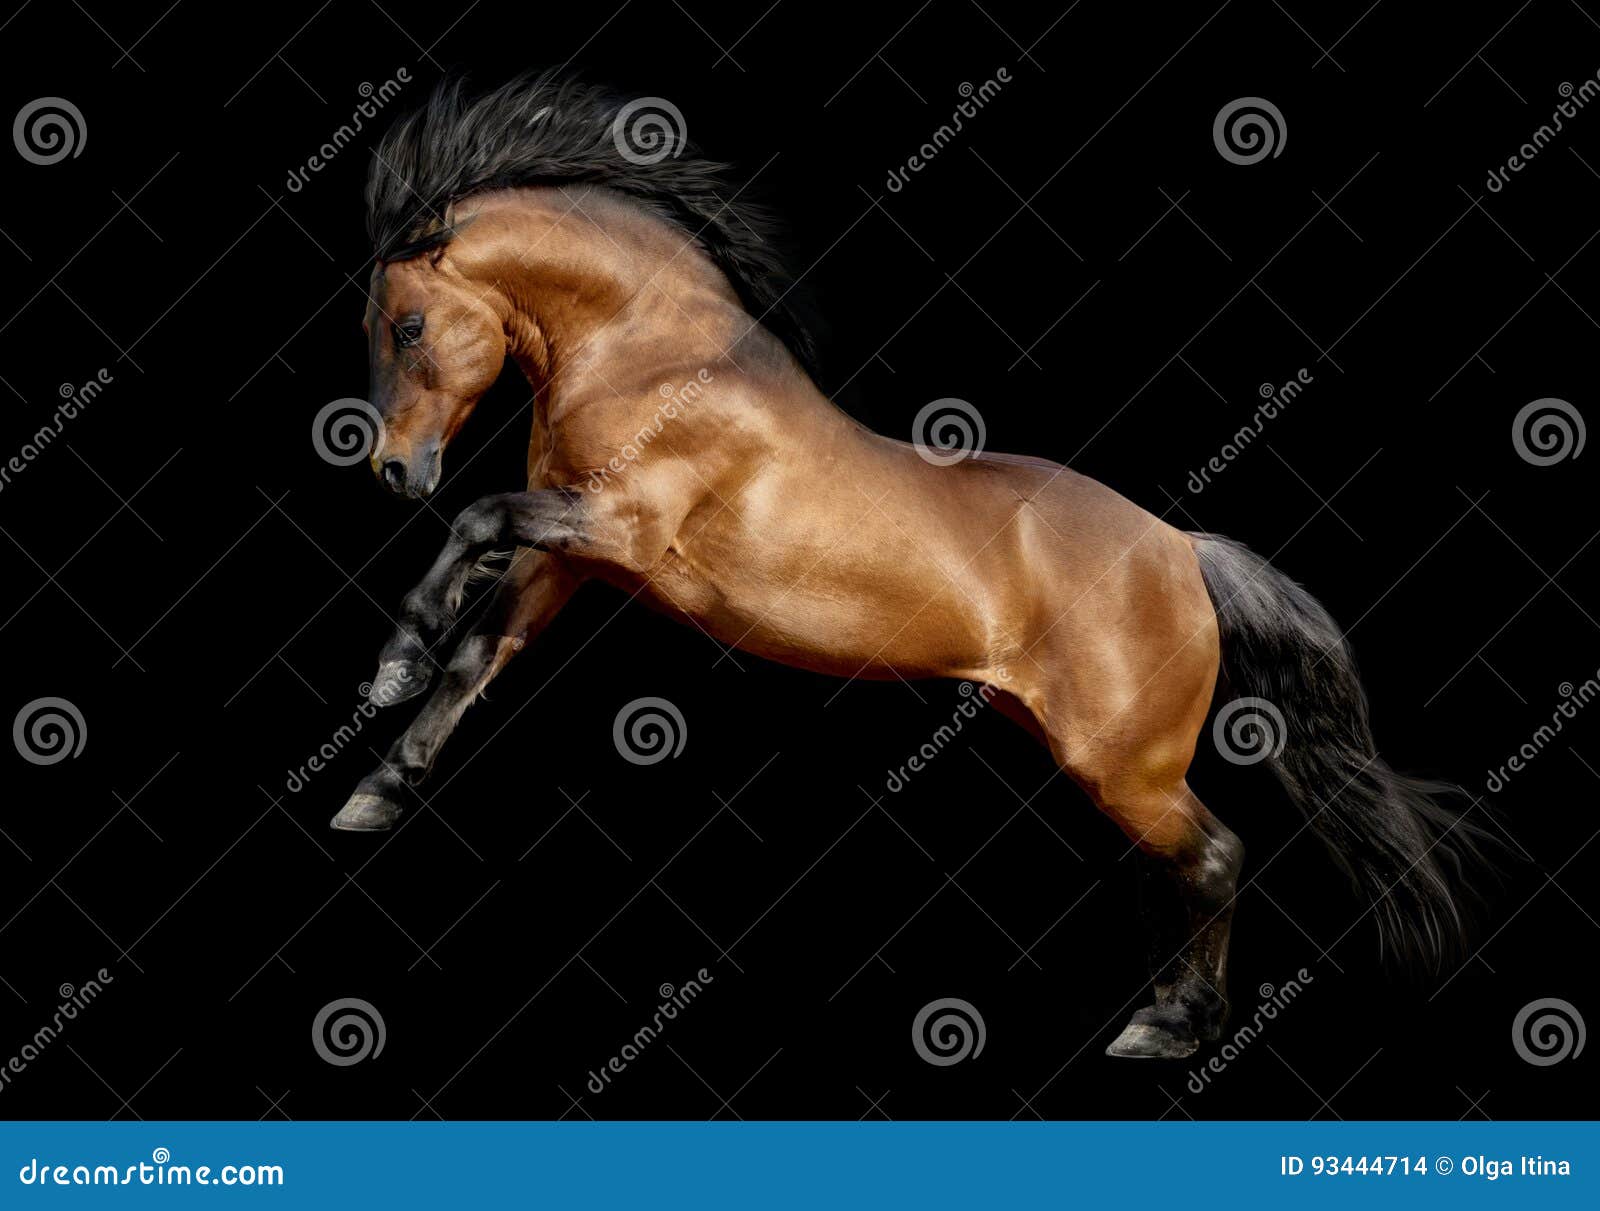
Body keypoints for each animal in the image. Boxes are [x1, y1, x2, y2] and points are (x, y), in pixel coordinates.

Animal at [331, 73, 1479, 1060]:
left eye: (410, 323)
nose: (392, 470)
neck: (653, 359)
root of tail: (1180, 550)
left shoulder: (620, 526)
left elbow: (474, 521)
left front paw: (387, 669)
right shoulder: (572, 558)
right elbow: (478, 651)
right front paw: (377, 787)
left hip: (1122, 758)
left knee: (1212, 855)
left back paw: (1171, 1027)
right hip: (1099, 754)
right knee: (1171, 867)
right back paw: (1159, 1006)